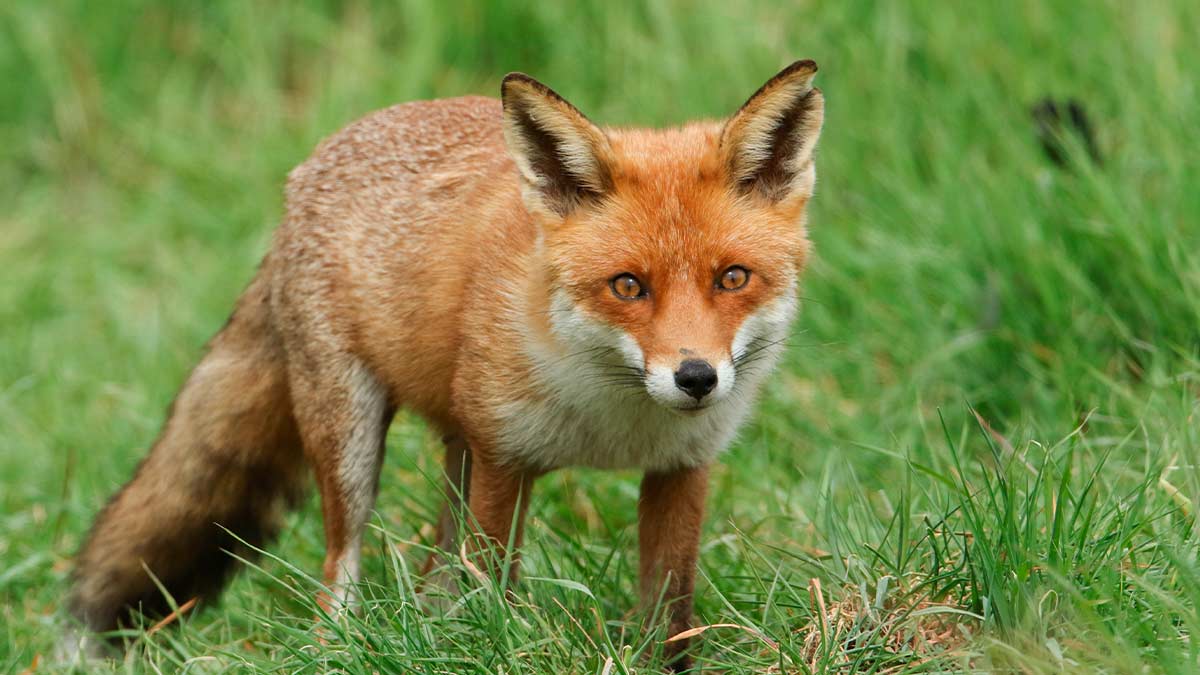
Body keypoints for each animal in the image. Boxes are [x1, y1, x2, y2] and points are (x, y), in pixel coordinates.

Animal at [64, 60, 825, 669]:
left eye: (732, 278)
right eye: (628, 286)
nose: (696, 377)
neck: (611, 416)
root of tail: (310, 166)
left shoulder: (680, 467)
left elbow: (670, 614)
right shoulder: (505, 458)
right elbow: (493, 589)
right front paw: (501, 651)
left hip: (457, 450)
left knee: (434, 572)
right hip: (353, 441)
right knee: (342, 569)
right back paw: (341, 647)